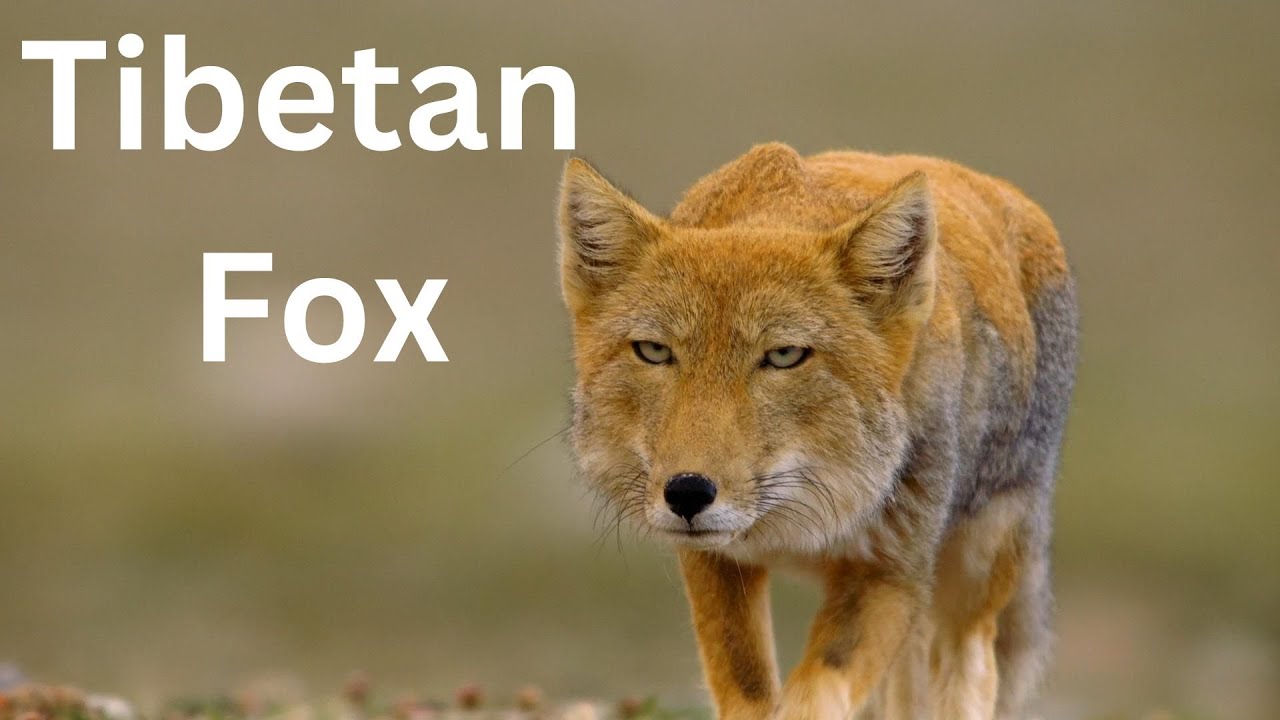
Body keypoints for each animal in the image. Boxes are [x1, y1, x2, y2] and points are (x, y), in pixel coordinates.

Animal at [556, 143, 1078, 720]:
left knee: (969, 667)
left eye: (784, 355)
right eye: (654, 351)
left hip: (967, 584)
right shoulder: (714, 562)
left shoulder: (889, 572)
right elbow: (749, 693)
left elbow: (815, 695)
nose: (687, 492)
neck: (795, 527)